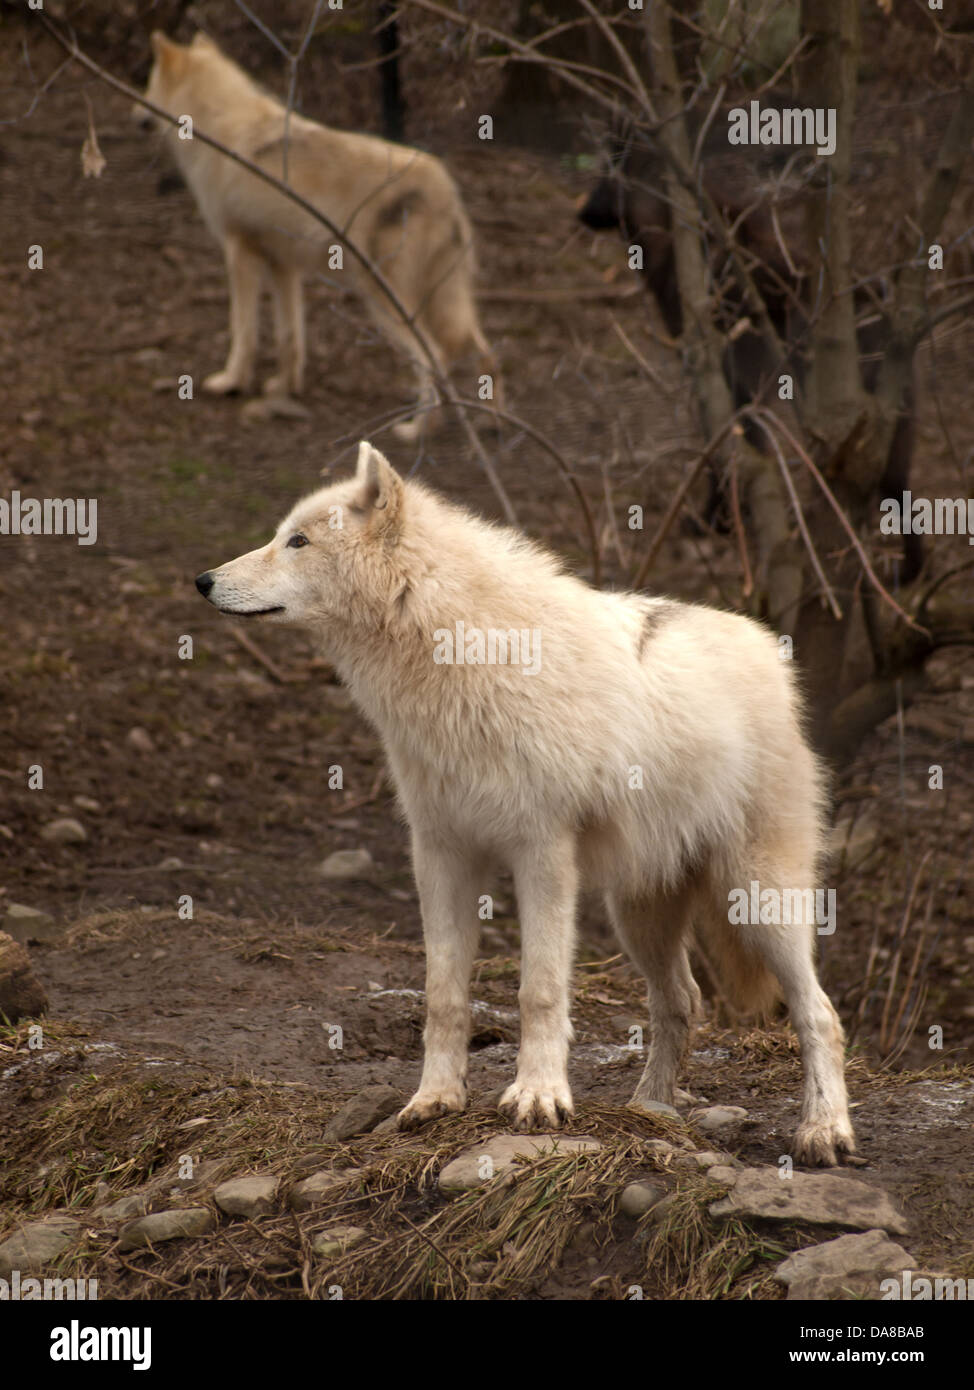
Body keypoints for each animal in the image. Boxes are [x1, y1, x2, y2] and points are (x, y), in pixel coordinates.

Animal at [137, 32, 494, 435]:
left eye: (148, 84)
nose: (135, 114)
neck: (220, 128)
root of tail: (444, 186)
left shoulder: (240, 253)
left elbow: (243, 332)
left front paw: (231, 382)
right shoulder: (284, 265)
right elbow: (290, 338)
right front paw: (285, 388)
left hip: (384, 302)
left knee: (435, 357)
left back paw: (417, 429)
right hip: (438, 302)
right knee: (483, 351)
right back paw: (493, 425)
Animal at [196, 441, 855, 1166]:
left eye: (298, 541)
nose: (202, 580)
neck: (454, 654)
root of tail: (769, 648)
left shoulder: (542, 854)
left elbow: (538, 990)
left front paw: (539, 1097)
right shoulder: (440, 856)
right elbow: (443, 996)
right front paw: (434, 1099)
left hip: (758, 899)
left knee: (819, 1011)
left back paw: (824, 1130)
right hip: (638, 913)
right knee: (682, 1000)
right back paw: (648, 1109)